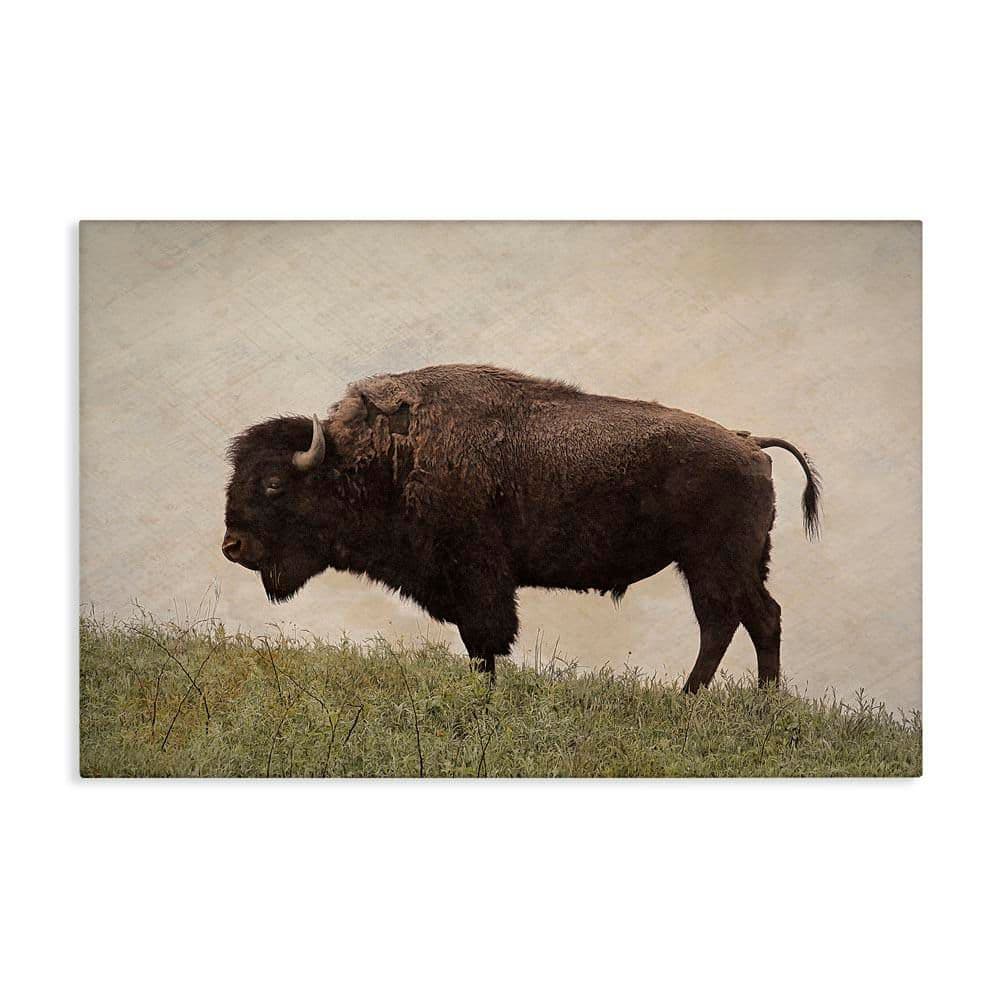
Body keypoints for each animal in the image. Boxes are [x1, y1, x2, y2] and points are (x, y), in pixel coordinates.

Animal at [223, 364, 820, 692]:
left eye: (273, 484)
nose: (233, 546)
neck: (386, 454)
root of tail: (749, 444)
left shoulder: (478, 580)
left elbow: (484, 643)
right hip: (727, 565)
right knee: (750, 620)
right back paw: (748, 703)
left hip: (714, 564)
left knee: (734, 621)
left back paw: (701, 699)